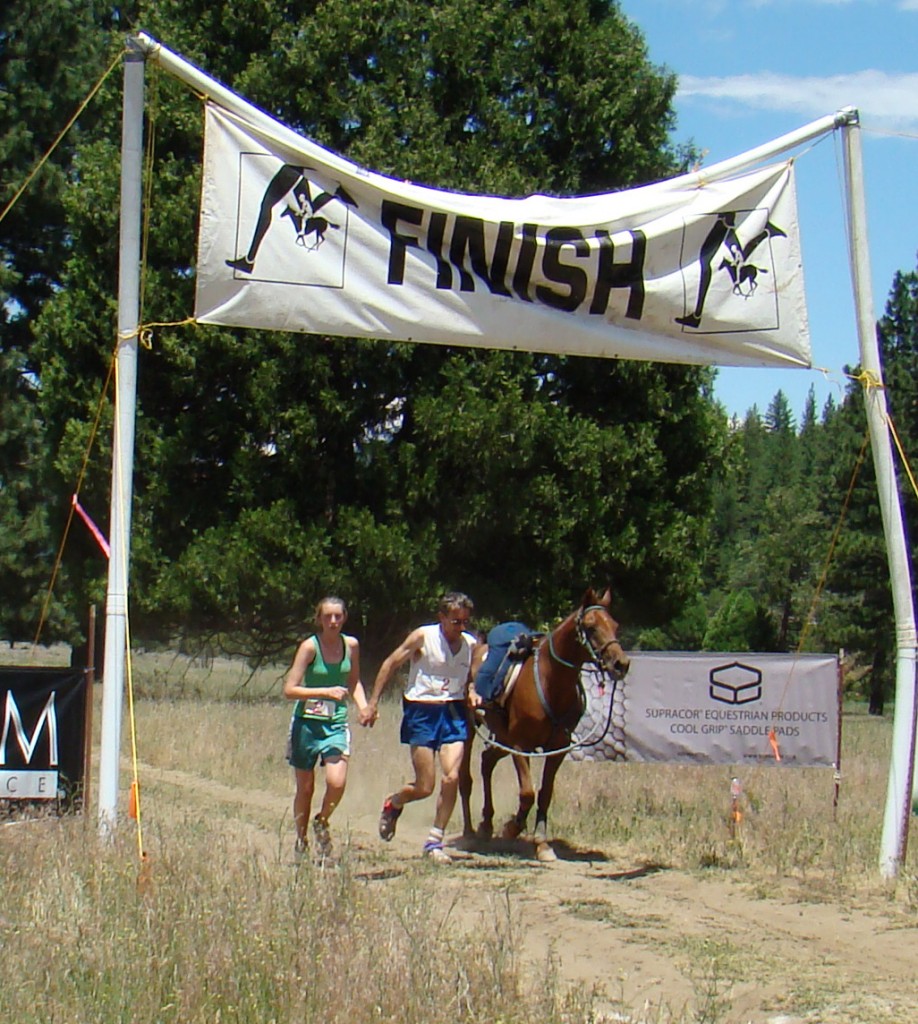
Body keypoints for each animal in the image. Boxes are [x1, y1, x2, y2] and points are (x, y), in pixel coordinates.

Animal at [458, 587, 630, 863]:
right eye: (591, 627)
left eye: (615, 625)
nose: (620, 664)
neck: (551, 682)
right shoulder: (521, 746)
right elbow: (527, 793)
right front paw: (512, 827)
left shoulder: (557, 748)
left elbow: (545, 793)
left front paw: (542, 843)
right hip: (471, 731)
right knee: (465, 778)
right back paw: (469, 831)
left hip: (503, 737)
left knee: (486, 762)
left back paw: (486, 824)